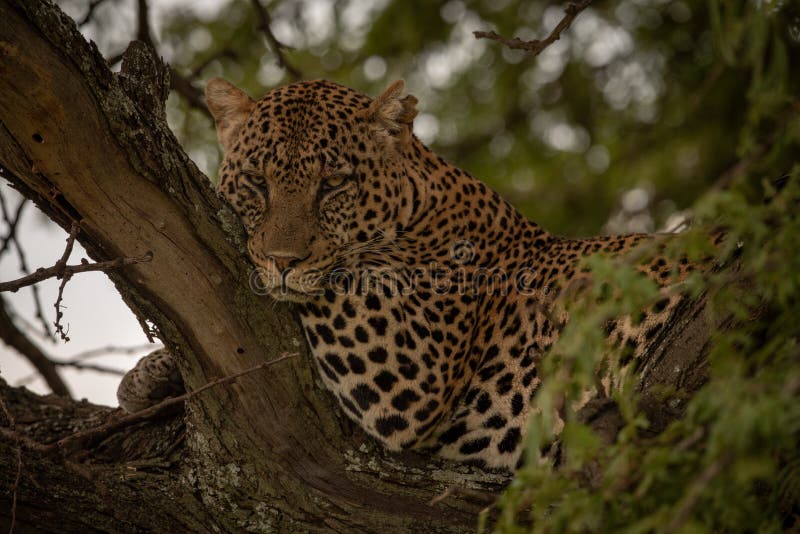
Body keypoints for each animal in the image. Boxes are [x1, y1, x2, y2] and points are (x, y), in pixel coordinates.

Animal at [118, 77, 701, 471]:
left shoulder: (413, 363)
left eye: (334, 184)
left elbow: (332, 281)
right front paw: (146, 377)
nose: (284, 261)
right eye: (256, 182)